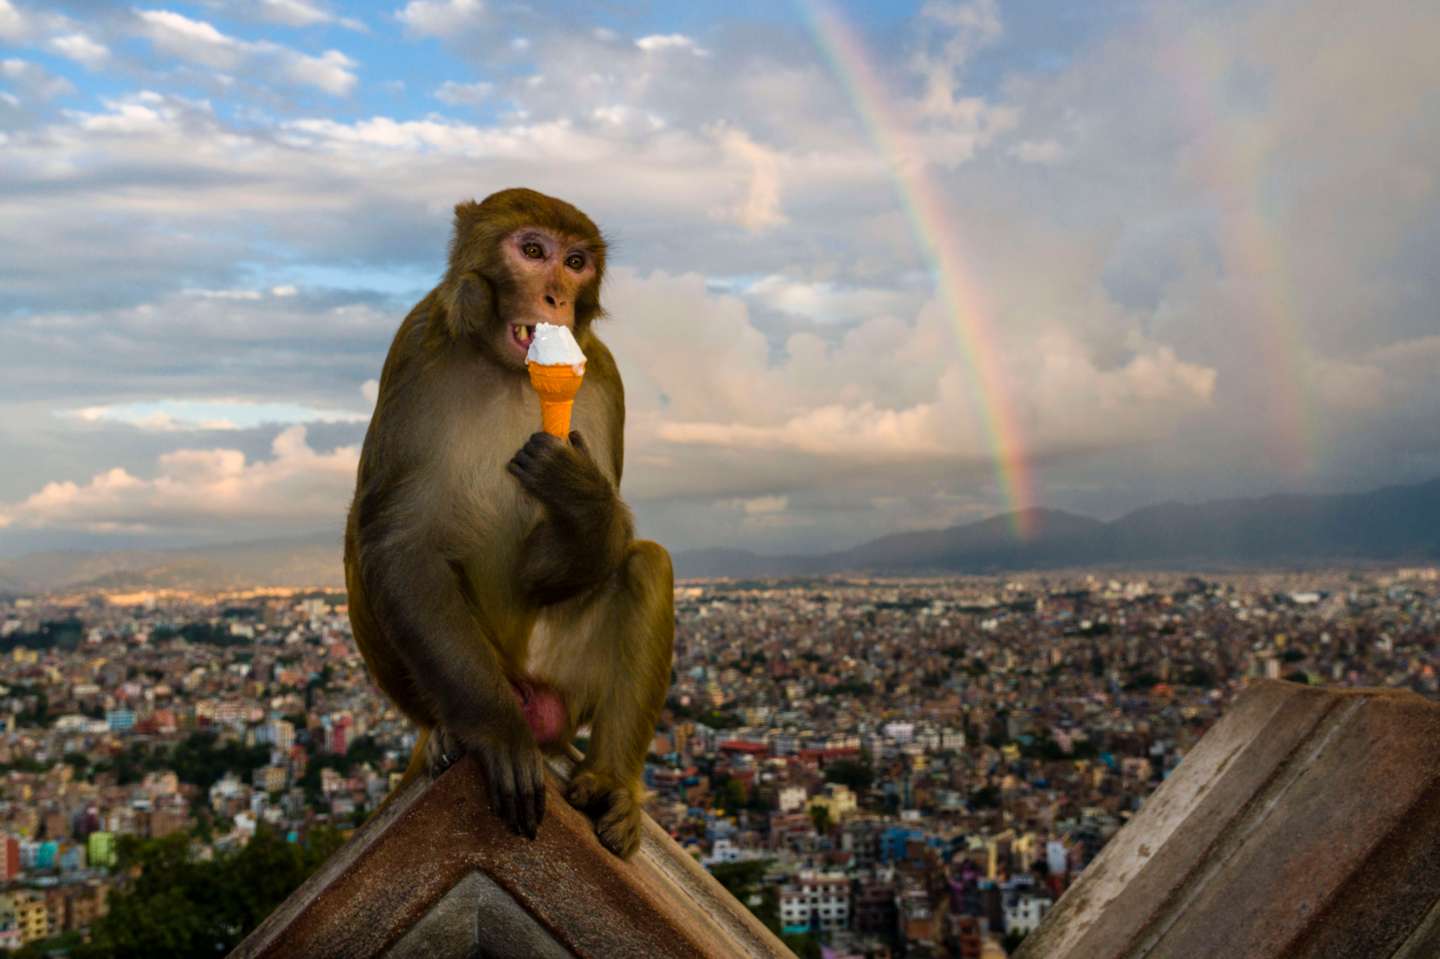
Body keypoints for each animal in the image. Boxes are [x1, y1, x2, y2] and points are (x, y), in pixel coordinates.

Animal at [343, 187, 674, 859]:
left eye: (575, 261)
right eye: (532, 251)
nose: (556, 297)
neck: (508, 368)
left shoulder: (604, 378)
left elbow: (549, 572)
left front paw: (581, 494)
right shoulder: (417, 347)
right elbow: (398, 540)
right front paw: (497, 732)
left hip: (562, 680)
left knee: (647, 564)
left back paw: (611, 782)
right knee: (363, 542)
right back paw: (453, 730)